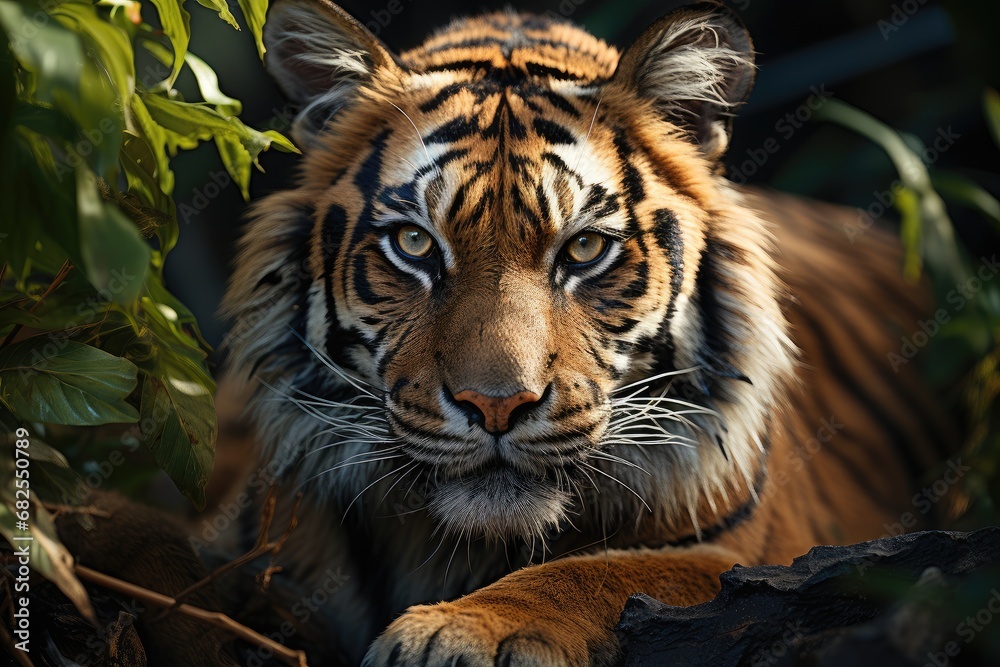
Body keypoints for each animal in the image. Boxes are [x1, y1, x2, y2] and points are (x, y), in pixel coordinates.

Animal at [218, 0, 955, 664]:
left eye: (583, 249)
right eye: (414, 244)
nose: (496, 405)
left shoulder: (761, 550)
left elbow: (615, 569)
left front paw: (460, 630)